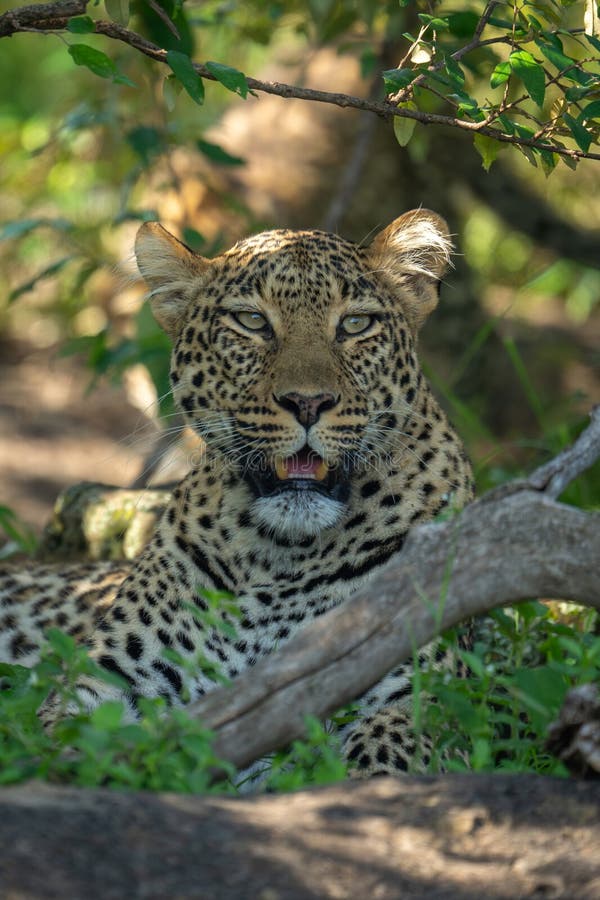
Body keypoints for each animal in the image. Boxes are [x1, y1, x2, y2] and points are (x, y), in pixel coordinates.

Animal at [0, 209, 474, 779]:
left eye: (356, 325)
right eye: (252, 322)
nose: (308, 402)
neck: (281, 556)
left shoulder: (424, 696)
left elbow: (385, 754)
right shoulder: (105, 684)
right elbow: (73, 749)